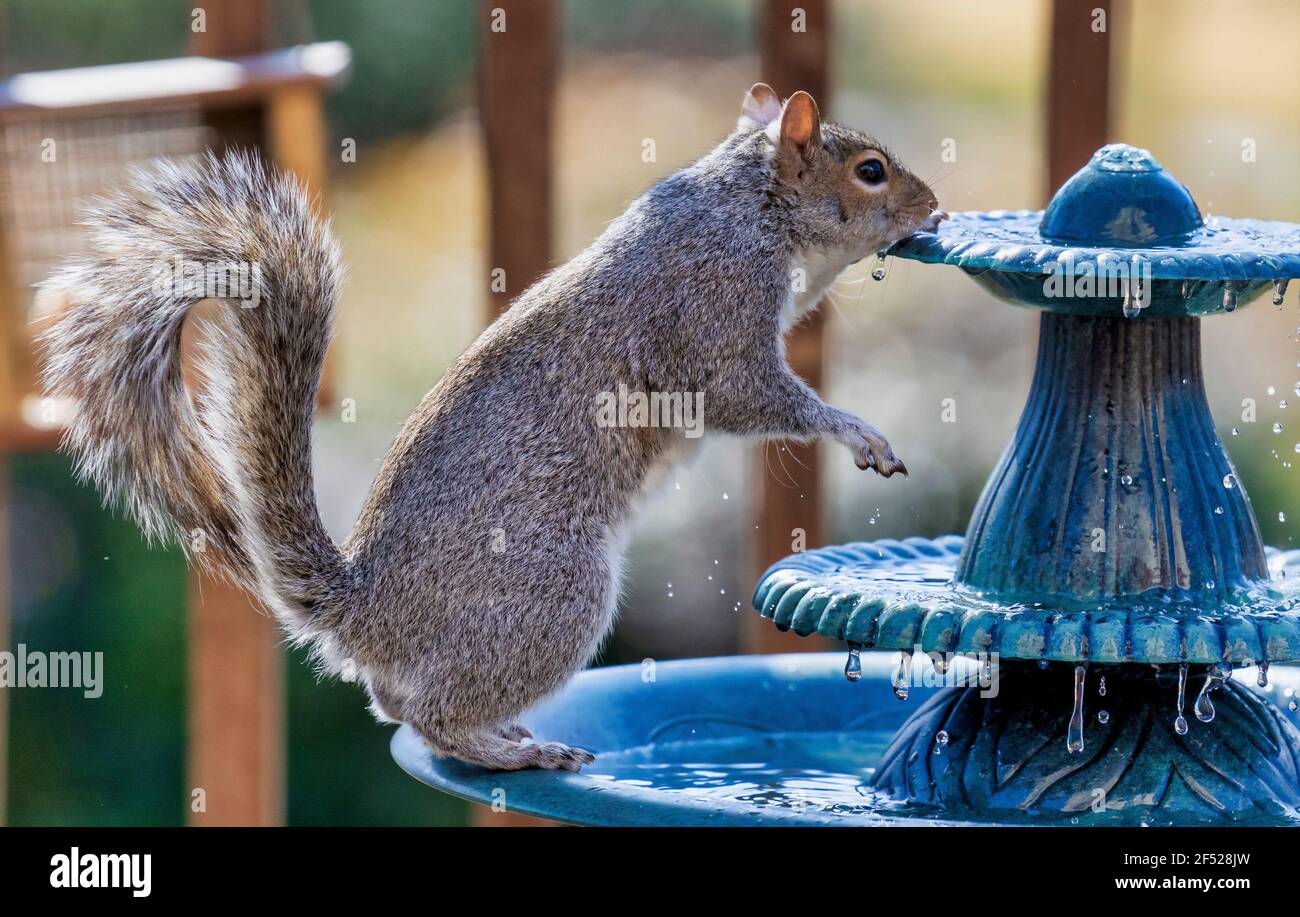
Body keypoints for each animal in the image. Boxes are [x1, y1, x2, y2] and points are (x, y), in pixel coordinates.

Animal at [41, 84, 940, 772]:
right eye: (870, 172)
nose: (933, 206)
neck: (747, 204)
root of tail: (367, 613)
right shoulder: (713, 307)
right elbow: (745, 393)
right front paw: (855, 430)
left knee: (396, 700)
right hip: (553, 592)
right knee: (429, 714)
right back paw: (515, 750)